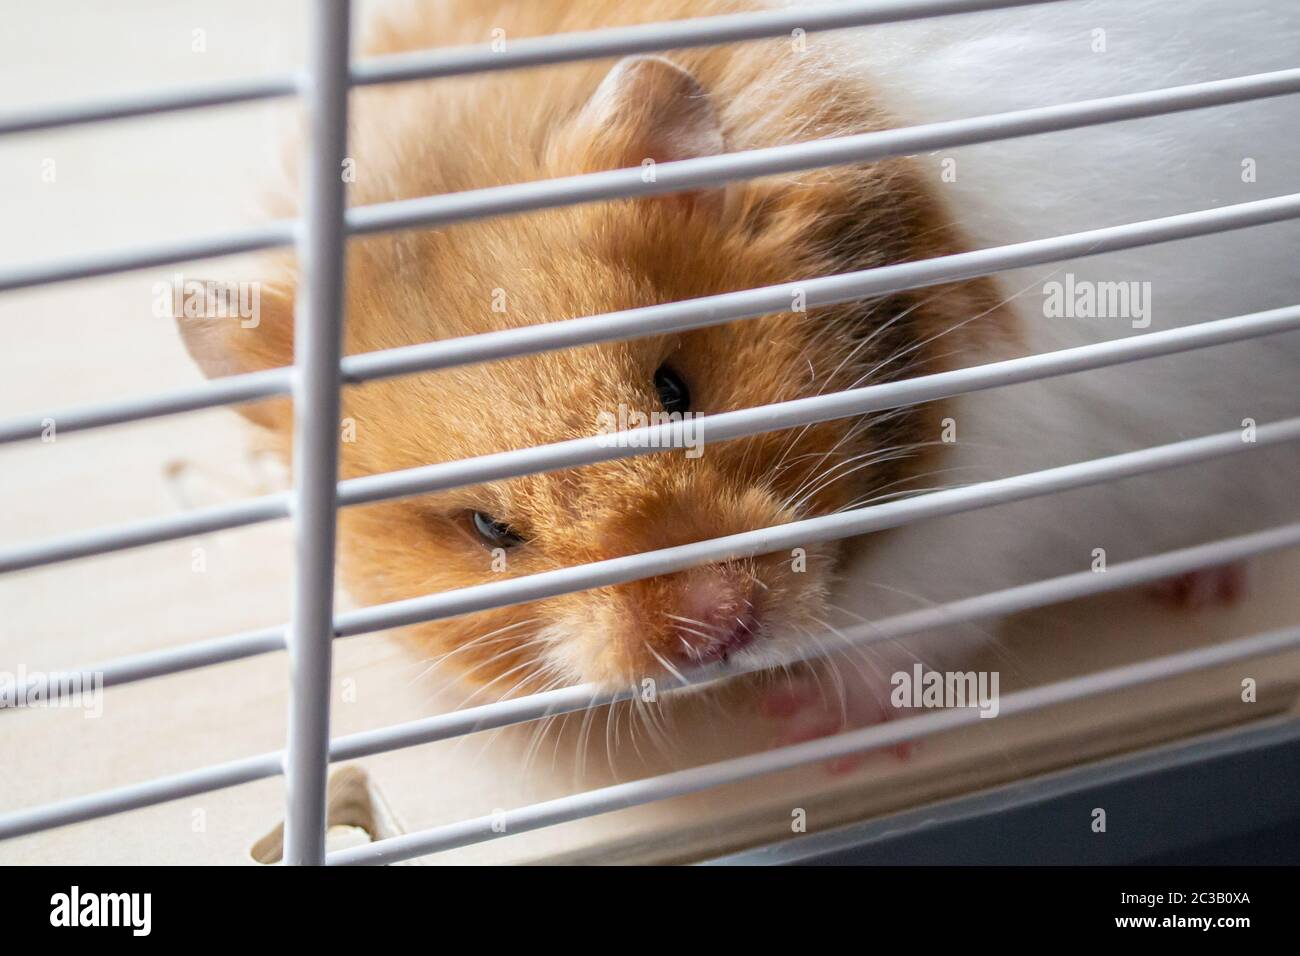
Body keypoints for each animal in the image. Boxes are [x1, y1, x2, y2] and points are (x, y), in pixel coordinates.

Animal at [177, 0, 1300, 736]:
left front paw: (801, 718)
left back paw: (1204, 586)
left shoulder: (1017, 480)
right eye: (490, 529)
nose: (715, 630)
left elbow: (925, 612)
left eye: (678, 390)